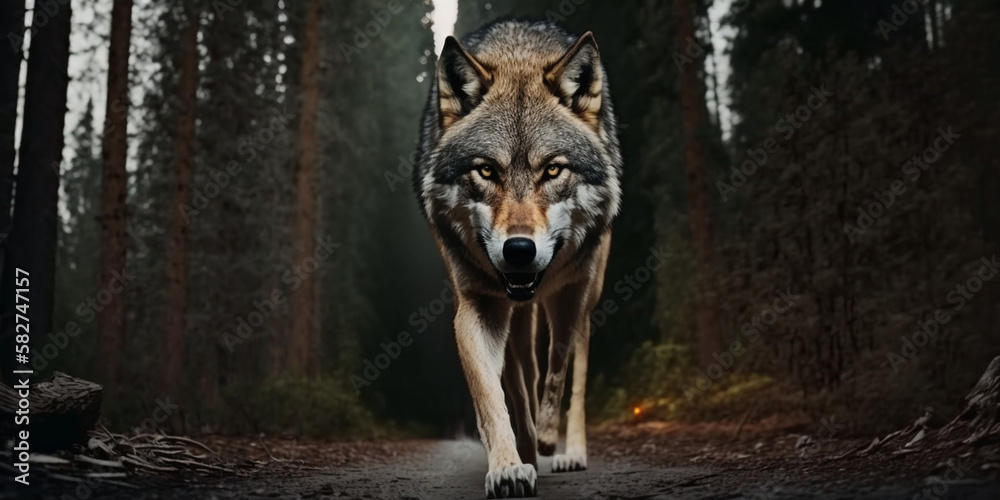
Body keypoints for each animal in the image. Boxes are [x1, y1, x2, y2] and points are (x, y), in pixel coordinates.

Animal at [413, 19, 622, 498]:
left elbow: (558, 369)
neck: (518, 54)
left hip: (588, 296)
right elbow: (496, 394)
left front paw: (545, 438)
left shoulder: (570, 292)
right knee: (524, 365)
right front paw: (511, 465)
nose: (519, 250)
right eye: (487, 170)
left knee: (575, 364)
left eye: (553, 170)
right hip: (520, 315)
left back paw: (568, 452)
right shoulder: (481, 304)